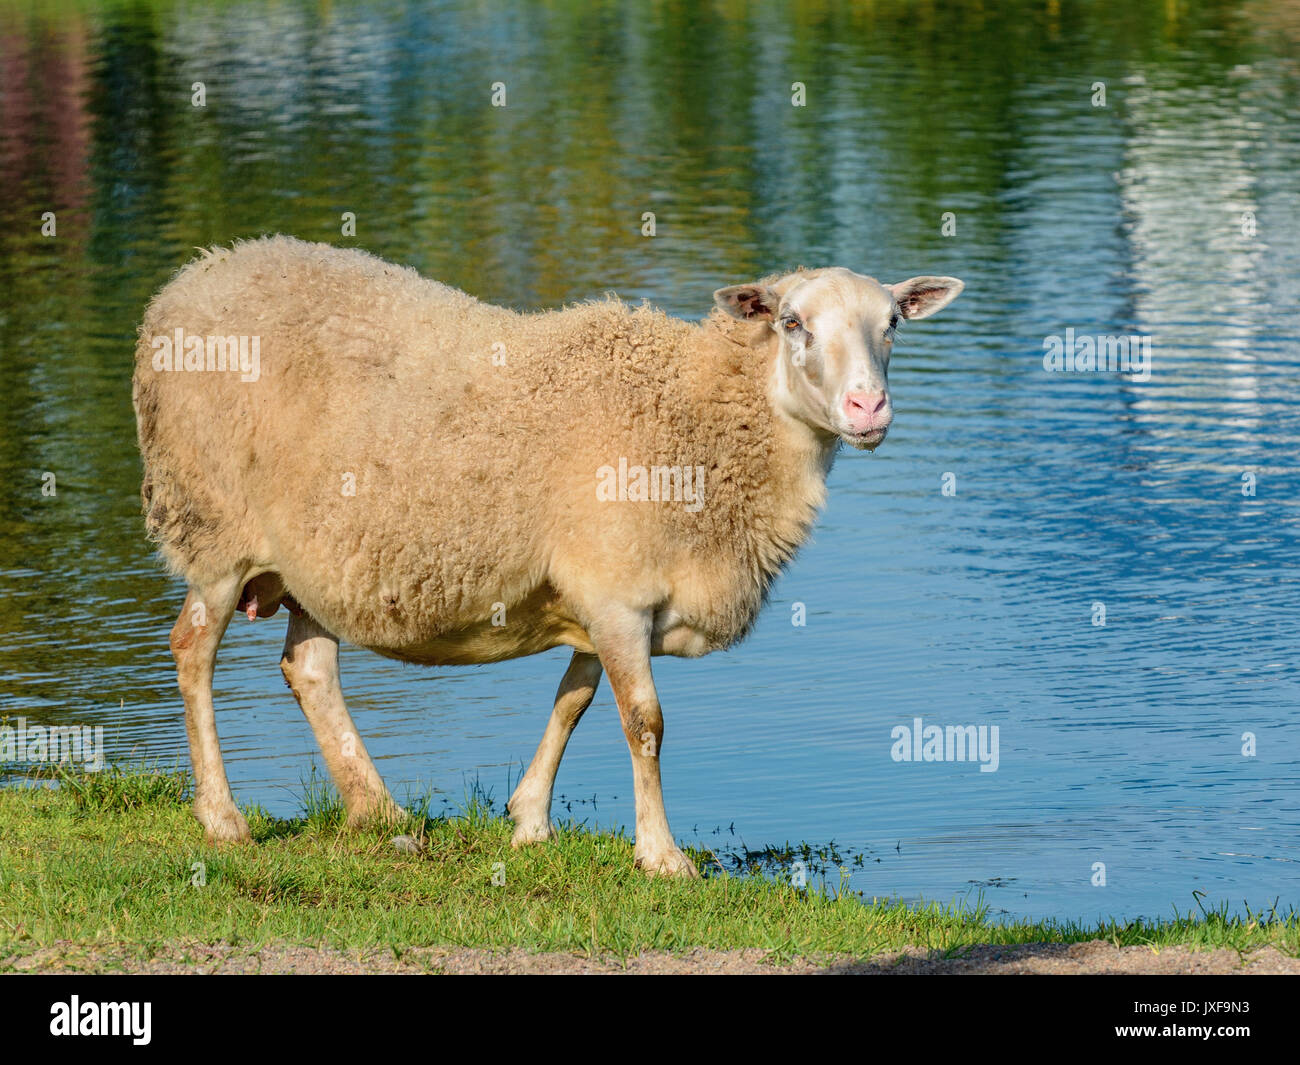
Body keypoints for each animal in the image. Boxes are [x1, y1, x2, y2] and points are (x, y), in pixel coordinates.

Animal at [132, 236, 963, 877]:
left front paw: (529, 817)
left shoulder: (602, 586)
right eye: (793, 323)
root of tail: (188, 280)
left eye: (892, 323)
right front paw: (662, 855)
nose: (867, 408)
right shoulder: (618, 592)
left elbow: (575, 697)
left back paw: (377, 809)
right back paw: (224, 817)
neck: (695, 421)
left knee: (308, 667)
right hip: (214, 525)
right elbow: (644, 721)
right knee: (192, 649)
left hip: (316, 561)